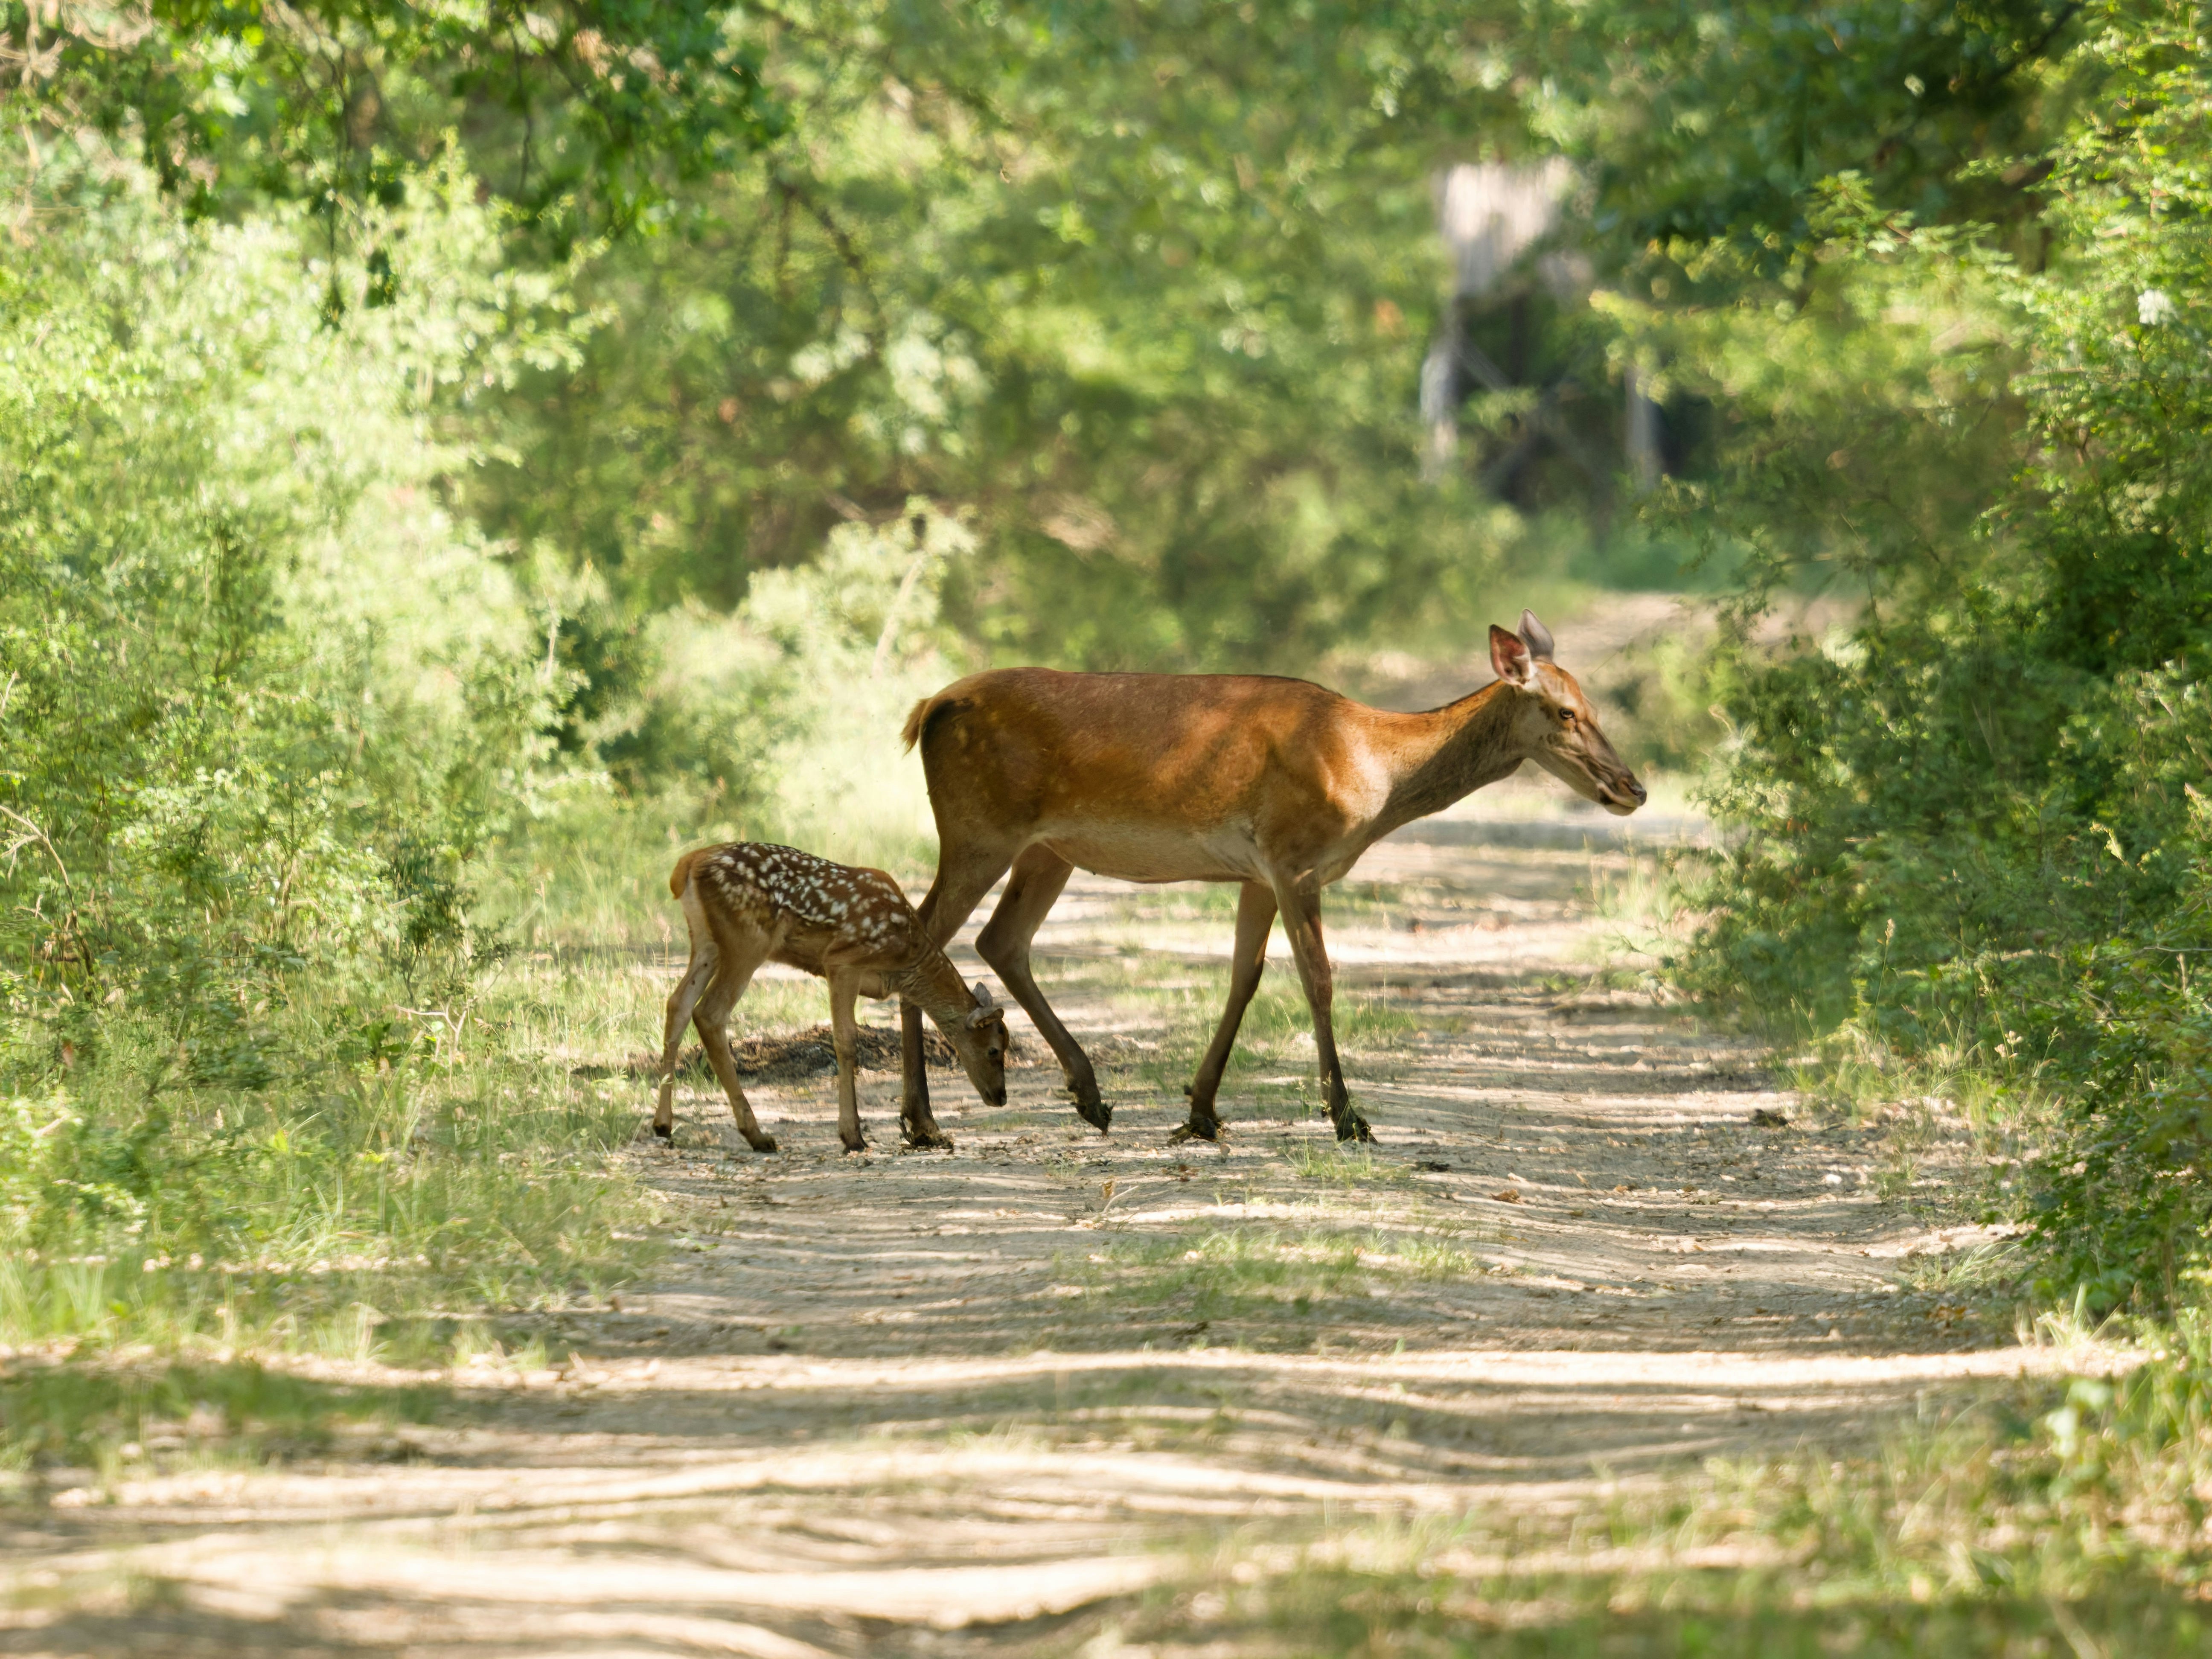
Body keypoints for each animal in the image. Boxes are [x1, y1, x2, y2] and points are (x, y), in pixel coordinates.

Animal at [654, 842, 1010, 1154]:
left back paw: (663, 1125)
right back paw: (757, 1136)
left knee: (678, 1004)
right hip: (747, 939)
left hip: (706, 942)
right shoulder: (842, 960)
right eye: (993, 1049)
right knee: (710, 1012)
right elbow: (846, 1041)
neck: (906, 961)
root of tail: (687, 864)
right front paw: (852, 1136)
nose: (1001, 1097)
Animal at [889, 611, 1644, 1147]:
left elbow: (1243, 979)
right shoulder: (1294, 855)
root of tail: (927, 708)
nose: (1632, 788)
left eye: (1596, 706)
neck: (1371, 769)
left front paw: (1201, 1111)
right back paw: (922, 1124)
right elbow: (1319, 979)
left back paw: (1088, 1096)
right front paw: (1347, 1116)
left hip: (1048, 848)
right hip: (979, 832)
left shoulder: (1255, 874)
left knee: (1000, 940)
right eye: (1566, 712)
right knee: (923, 937)